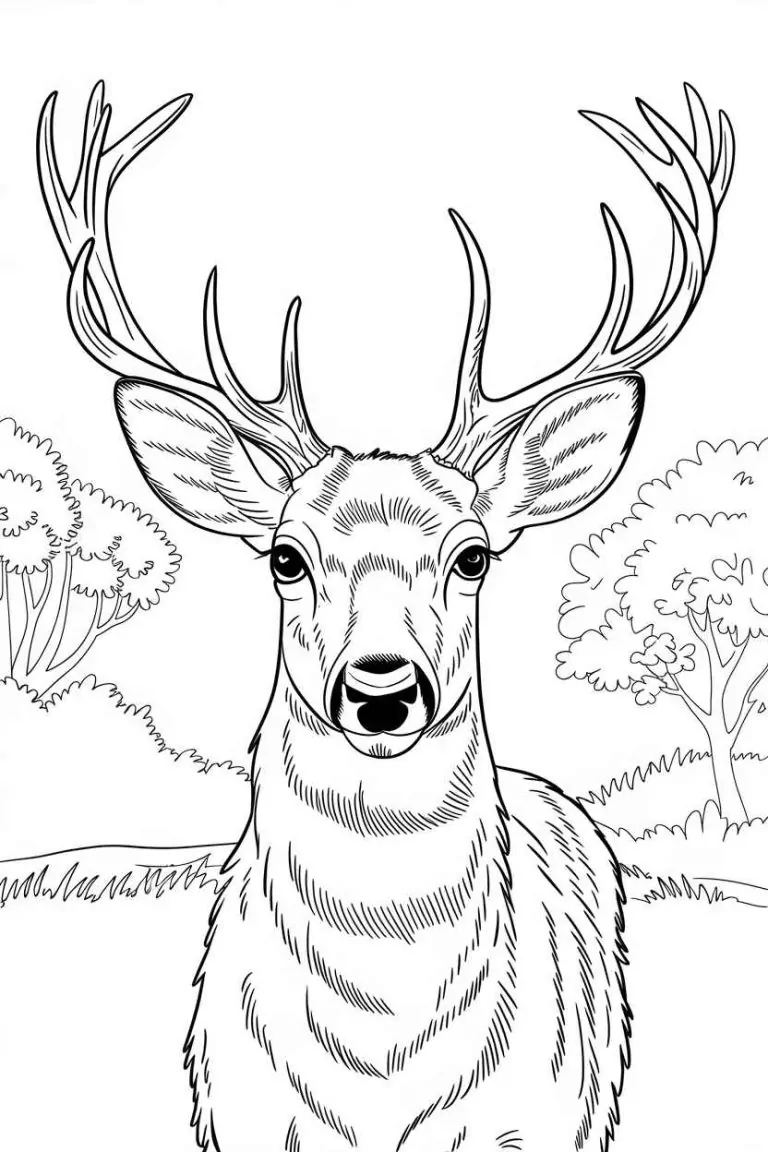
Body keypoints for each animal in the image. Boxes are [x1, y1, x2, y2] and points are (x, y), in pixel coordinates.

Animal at [38, 82, 733, 1151]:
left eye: (473, 555)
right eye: (285, 557)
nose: (381, 690)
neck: (381, 1059)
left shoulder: (532, 1121)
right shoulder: (239, 1113)